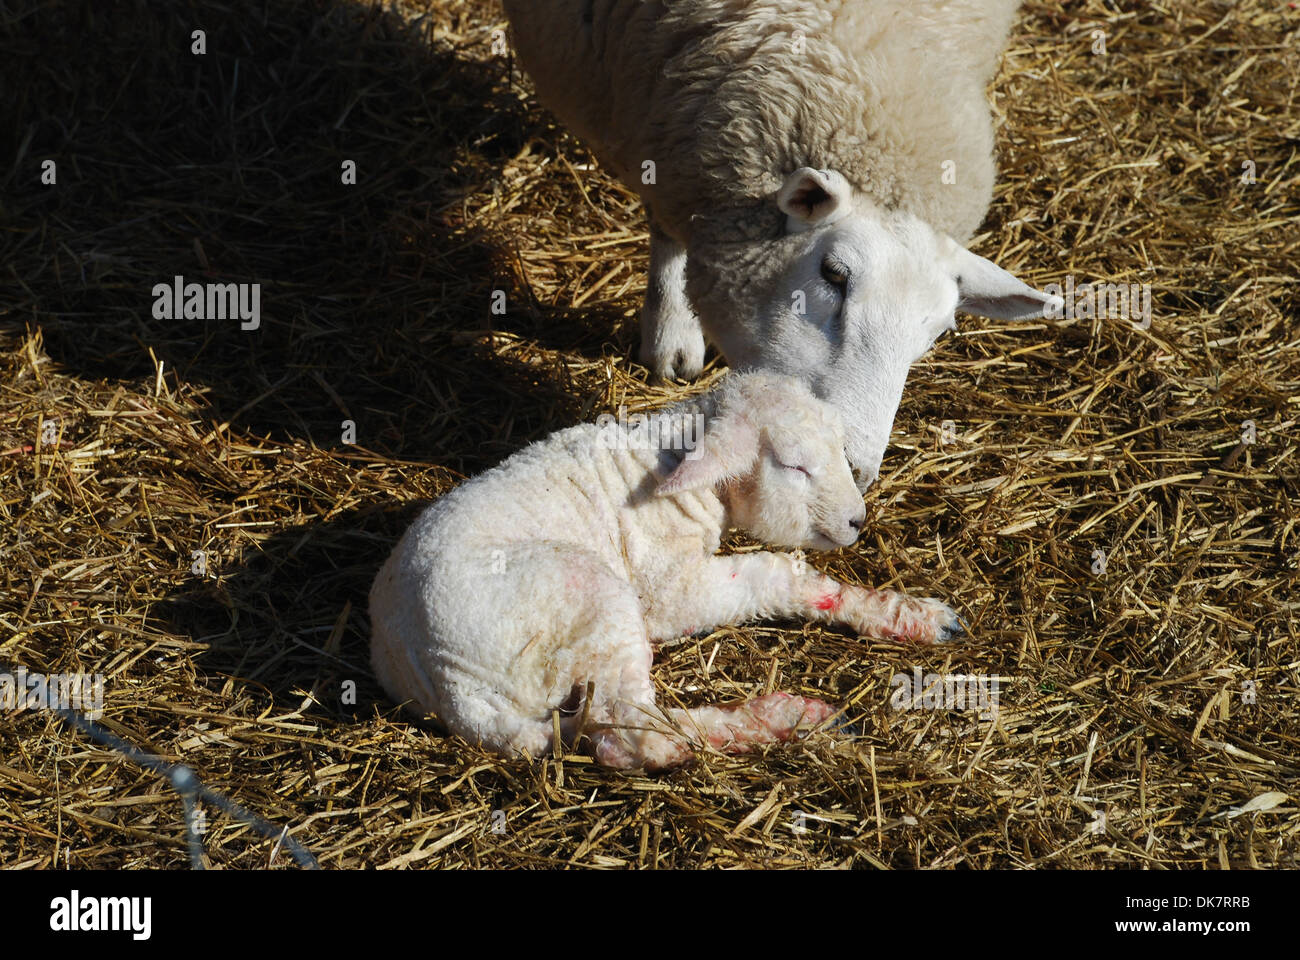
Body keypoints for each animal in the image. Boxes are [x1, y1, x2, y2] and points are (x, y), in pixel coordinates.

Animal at [369, 372, 964, 770]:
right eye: (795, 465)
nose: (856, 521)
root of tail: (446, 680)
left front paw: (909, 615)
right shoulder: (666, 589)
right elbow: (773, 574)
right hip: (587, 596)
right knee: (628, 735)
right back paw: (776, 719)